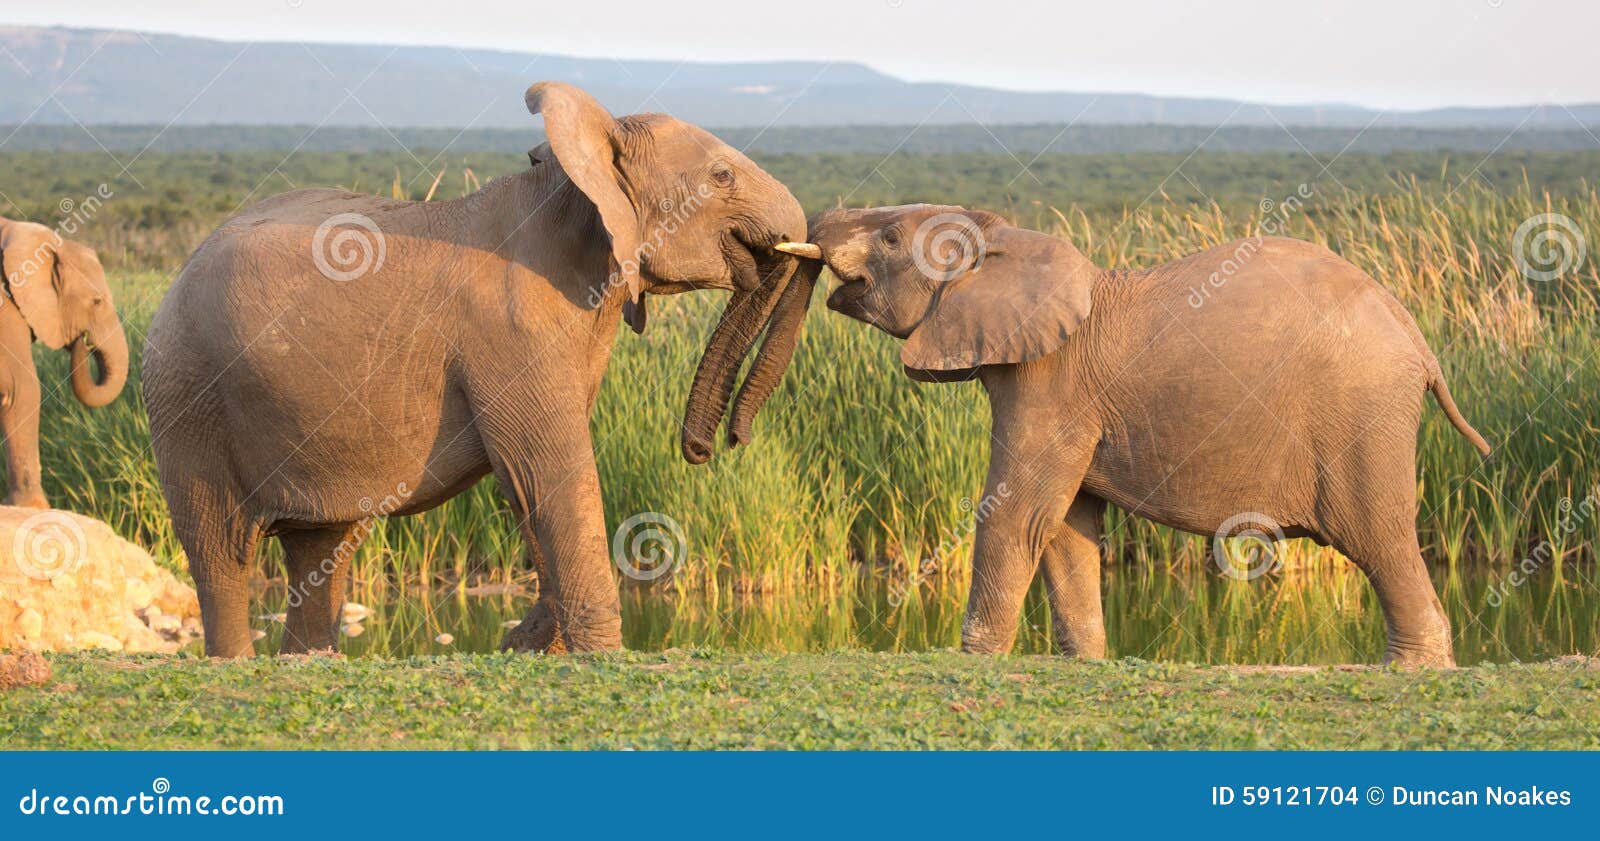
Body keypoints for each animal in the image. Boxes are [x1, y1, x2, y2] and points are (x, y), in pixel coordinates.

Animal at [143, 82, 819, 657]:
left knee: (323, 548)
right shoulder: (511, 328)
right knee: (222, 550)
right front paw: (592, 655)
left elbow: (530, 484)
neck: (577, 181)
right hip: (189, 394)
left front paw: (530, 643)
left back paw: (311, 661)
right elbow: (547, 470)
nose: (708, 448)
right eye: (722, 175)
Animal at [780, 204, 1491, 667]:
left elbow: (1018, 513)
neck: (1007, 244)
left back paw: (1415, 669)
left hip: (1362, 416)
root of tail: (1417, 339)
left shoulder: (1051, 382)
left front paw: (974, 659)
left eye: (891, 237)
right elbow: (1065, 527)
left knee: (1379, 539)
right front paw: (1085, 664)